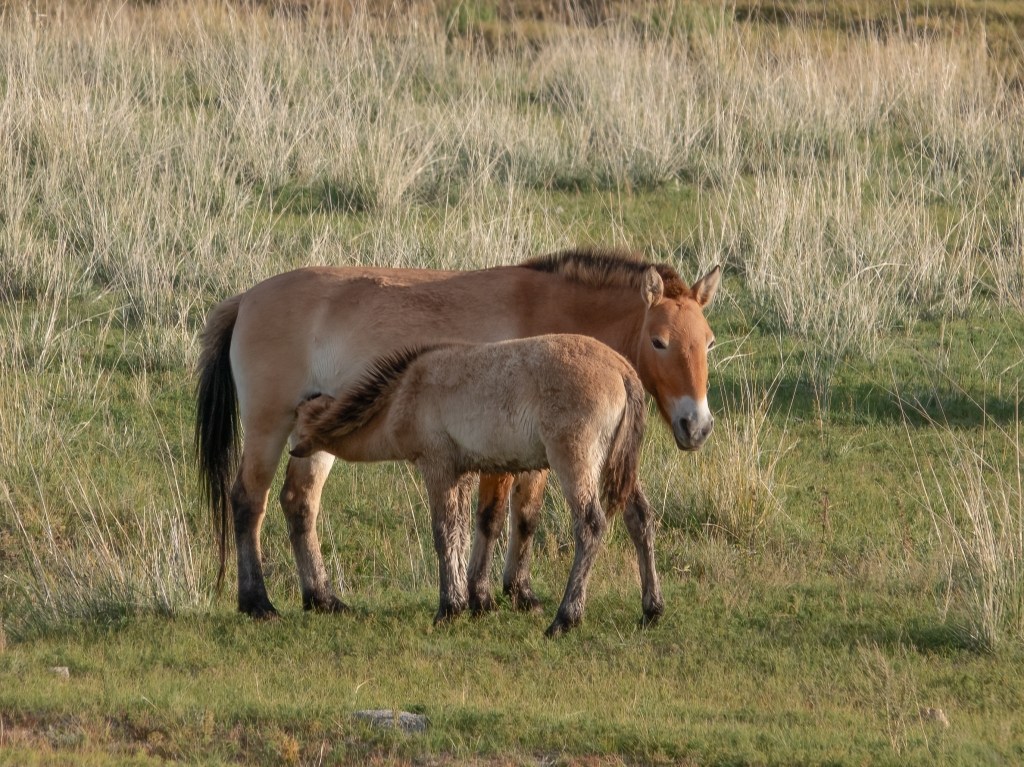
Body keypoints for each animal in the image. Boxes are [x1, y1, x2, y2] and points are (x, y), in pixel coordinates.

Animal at [289, 334, 661, 636]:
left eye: (299, 420)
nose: (293, 451)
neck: (405, 393)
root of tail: (623, 371)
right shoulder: (464, 473)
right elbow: (465, 532)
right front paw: (468, 603)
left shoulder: (438, 467)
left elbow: (445, 533)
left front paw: (448, 609)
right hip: (617, 468)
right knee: (640, 519)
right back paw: (651, 610)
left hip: (574, 463)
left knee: (590, 525)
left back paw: (565, 619)